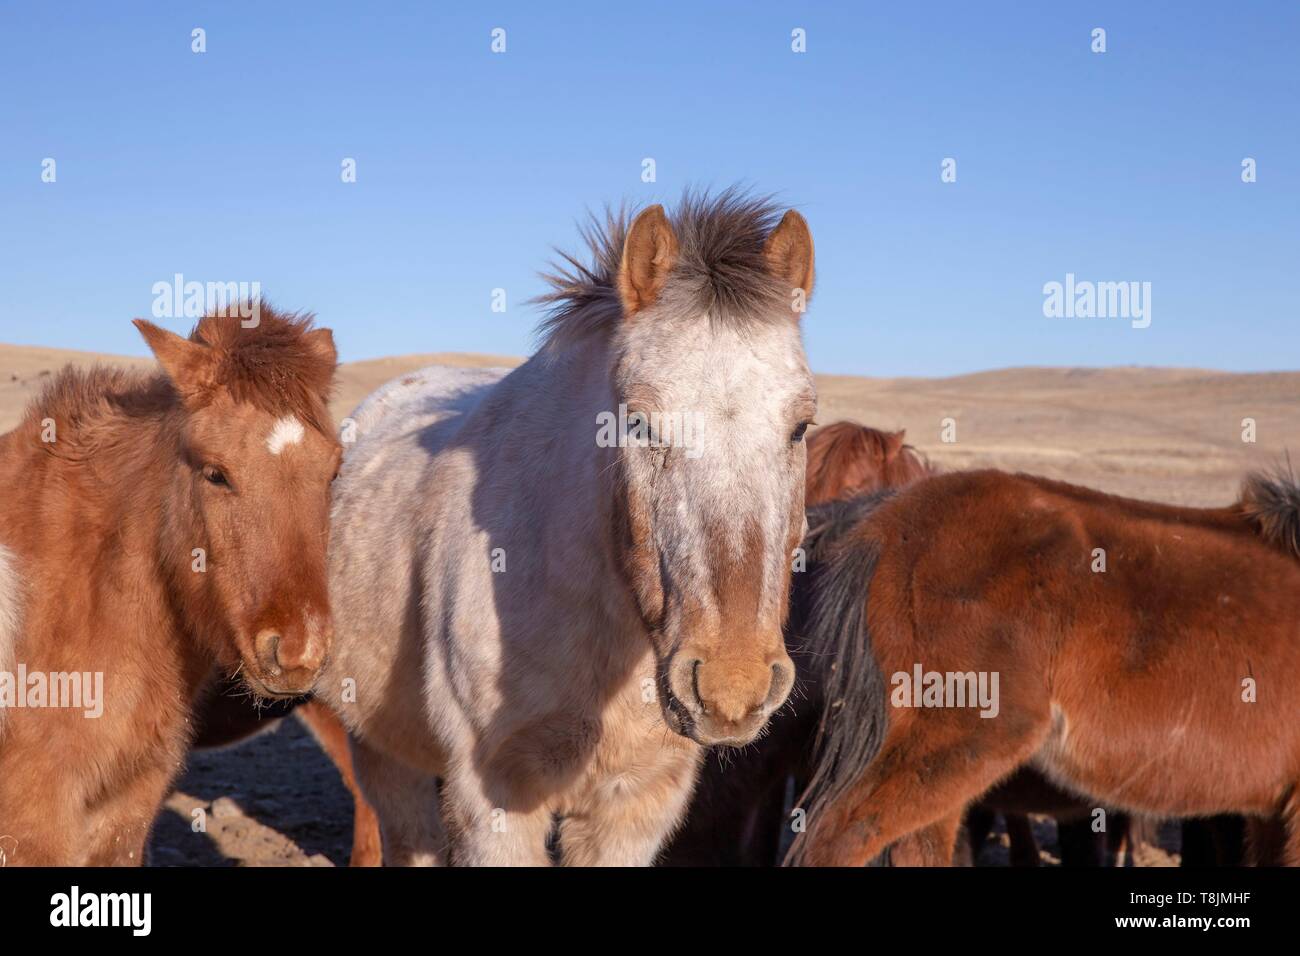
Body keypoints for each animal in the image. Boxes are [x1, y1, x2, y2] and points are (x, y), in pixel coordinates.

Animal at [316, 189, 818, 865]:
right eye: (639, 422)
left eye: (801, 427)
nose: (730, 683)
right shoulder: (495, 806)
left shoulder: (634, 809)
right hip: (383, 750)